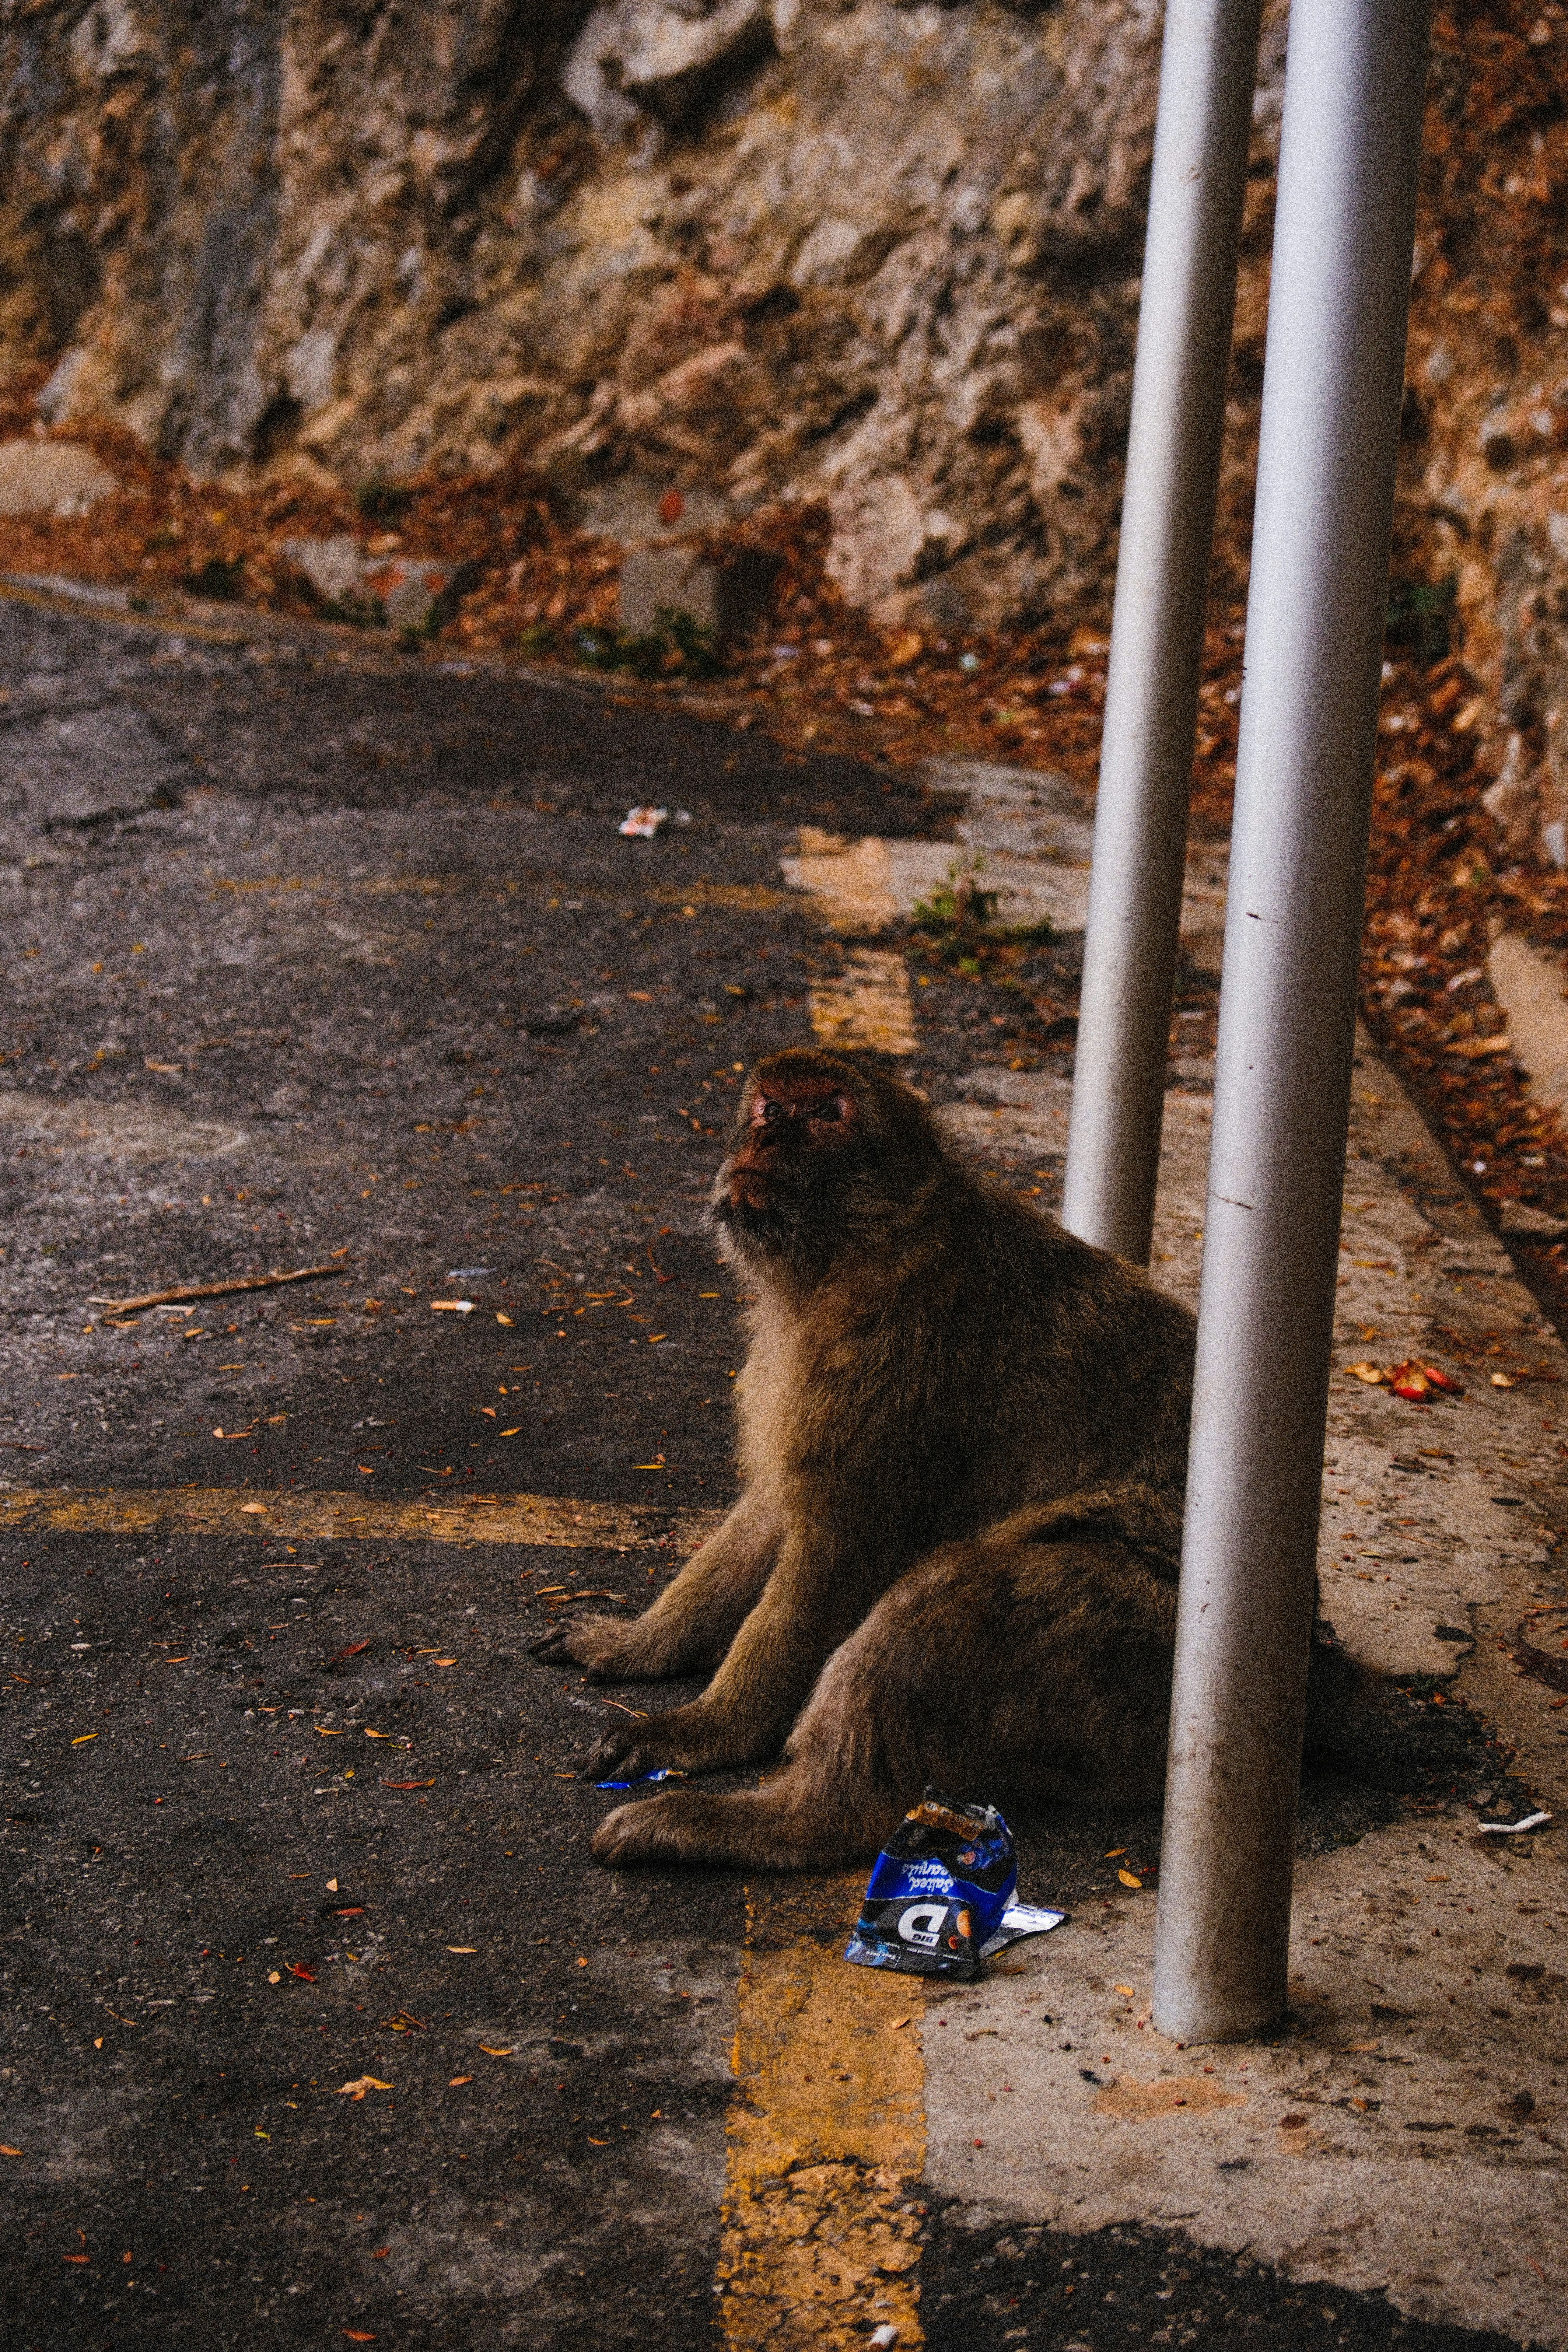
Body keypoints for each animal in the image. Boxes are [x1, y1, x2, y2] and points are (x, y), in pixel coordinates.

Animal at [532, 1044, 1363, 1872]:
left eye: (827, 1113)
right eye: (771, 1106)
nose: (765, 1139)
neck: (857, 1254)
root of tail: (1316, 1681)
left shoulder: (893, 1355)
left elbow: (842, 1551)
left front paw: (704, 1729)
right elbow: (771, 1513)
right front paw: (641, 1643)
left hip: (1148, 1660)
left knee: (953, 1588)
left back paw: (778, 1823)